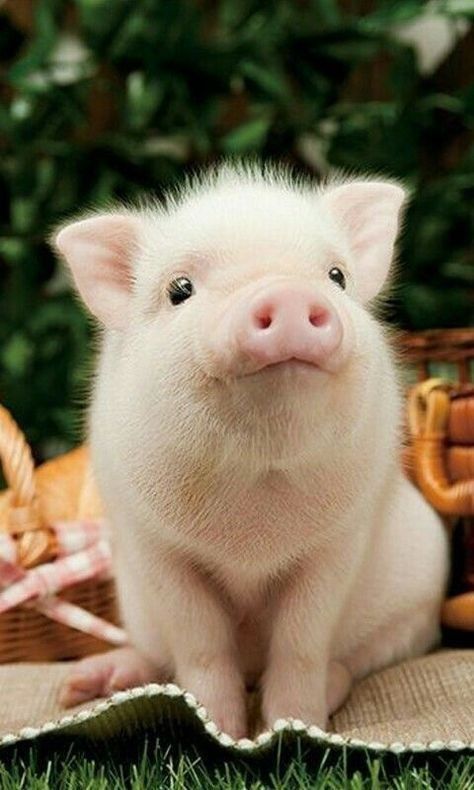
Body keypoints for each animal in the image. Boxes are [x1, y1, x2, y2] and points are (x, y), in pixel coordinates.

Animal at [53, 164, 448, 739]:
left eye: (337, 276)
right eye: (179, 290)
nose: (286, 294)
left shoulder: (338, 543)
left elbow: (302, 643)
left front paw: (289, 727)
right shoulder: (154, 546)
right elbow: (201, 646)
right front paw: (220, 731)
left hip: (415, 608)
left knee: (353, 660)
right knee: (155, 655)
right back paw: (82, 685)